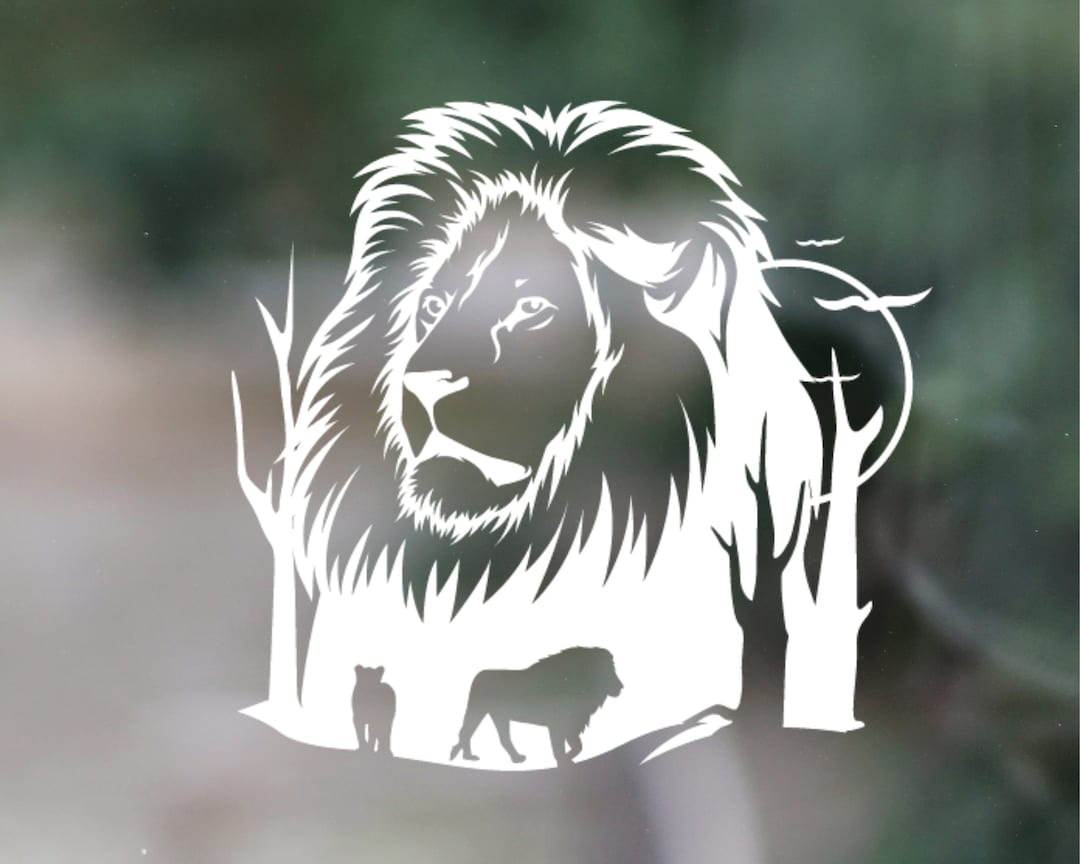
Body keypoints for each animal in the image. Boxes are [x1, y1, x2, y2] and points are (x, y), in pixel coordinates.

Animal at [449, 647, 623, 766]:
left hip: (499, 716)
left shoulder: (571, 724)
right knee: (466, 731)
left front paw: (567, 759)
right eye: (608, 669)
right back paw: (469, 757)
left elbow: (578, 747)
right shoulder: (557, 725)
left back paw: (513, 758)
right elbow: (560, 747)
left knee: (494, 736)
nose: (621, 687)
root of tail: (478, 675)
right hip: (478, 710)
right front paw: (562, 761)